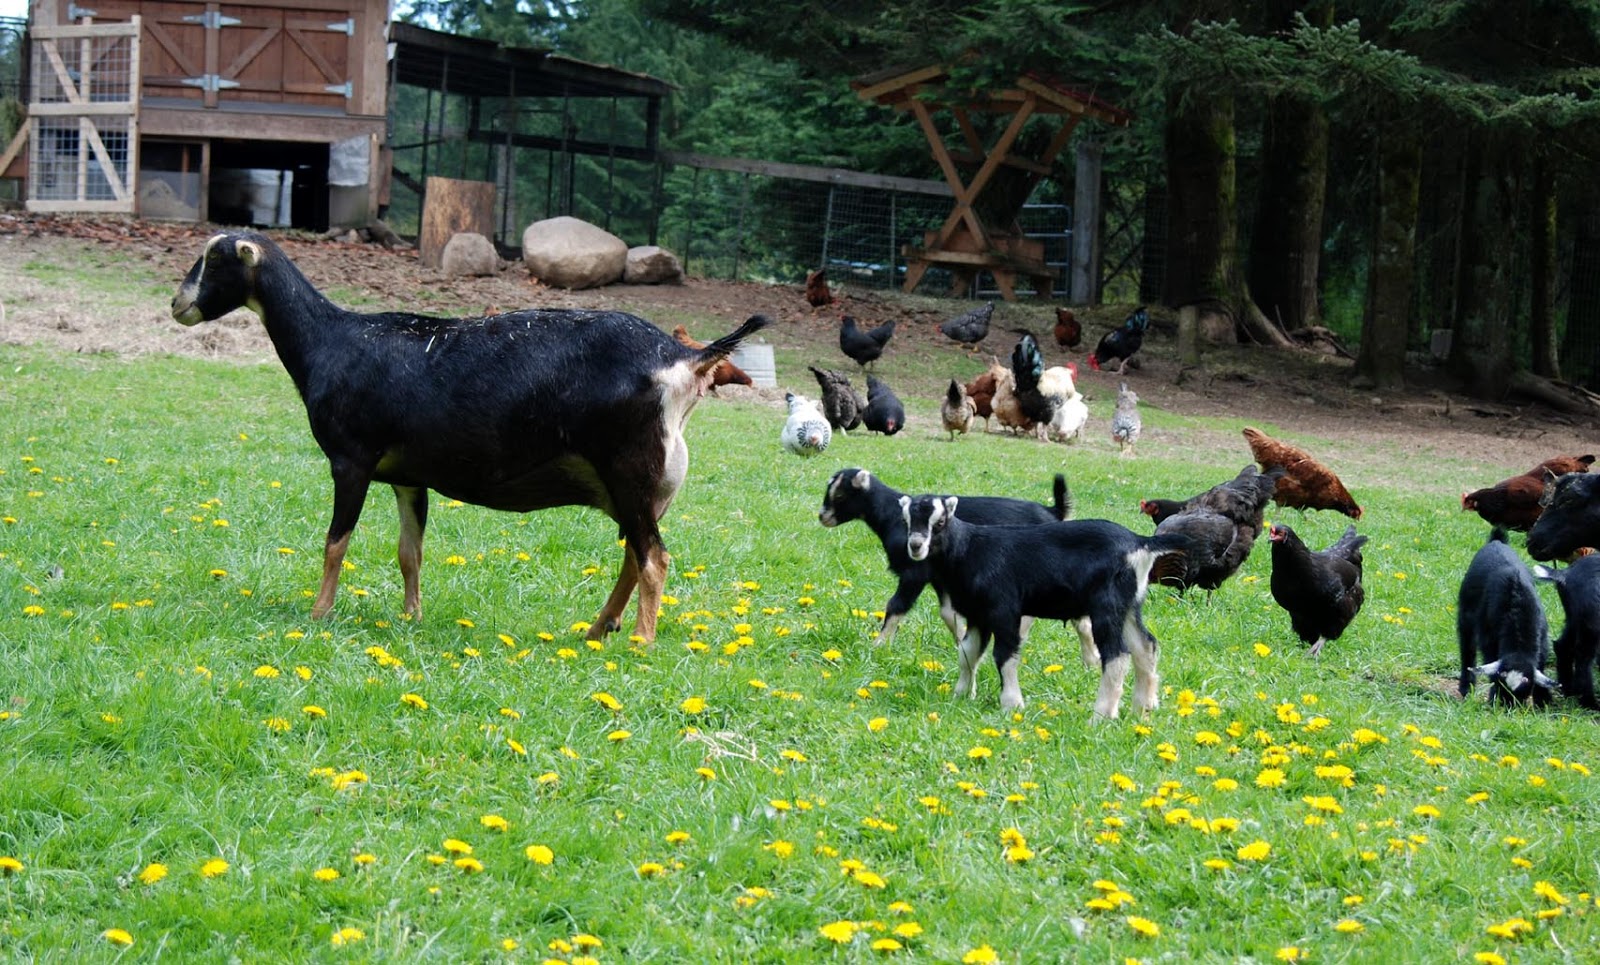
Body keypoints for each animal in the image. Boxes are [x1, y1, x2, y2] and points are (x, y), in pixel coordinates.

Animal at [170, 231, 768, 642]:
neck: (331, 340)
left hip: (629, 468)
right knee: (634, 553)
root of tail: (685, 358)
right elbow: (409, 551)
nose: (178, 305)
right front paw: (411, 617)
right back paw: (599, 629)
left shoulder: (352, 459)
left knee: (653, 559)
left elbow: (336, 542)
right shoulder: (407, 476)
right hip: (641, 486)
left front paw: (319, 614)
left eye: (217, 259)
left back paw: (641, 641)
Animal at [817, 468, 1068, 647]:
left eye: (839, 494)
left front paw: (878, 645)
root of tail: (1053, 511)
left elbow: (896, 605)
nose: (822, 516)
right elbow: (949, 613)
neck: (892, 515)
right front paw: (962, 642)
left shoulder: (915, 573)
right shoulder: (940, 577)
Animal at [900, 494, 1187, 718]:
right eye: (906, 521)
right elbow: (967, 653)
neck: (970, 549)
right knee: (1146, 646)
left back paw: (1102, 715)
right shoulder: (978, 615)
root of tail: (1140, 543)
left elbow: (1004, 656)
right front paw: (961, 695)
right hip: (1128, 605)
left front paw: (1012, 704)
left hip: (1107, 605)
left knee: (1117, 655)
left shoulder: (1004, 610)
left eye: (939, 522)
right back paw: (1143, 708)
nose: (915, 546)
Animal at [1458, 528, 1556, 705]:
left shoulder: (1543, 638)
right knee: (1467, 648)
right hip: (1465, 614)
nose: (1509, 706)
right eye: (1501, 681)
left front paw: (1543, 700)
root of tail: (1497, 541)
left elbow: (1541, 664)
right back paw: (1466, 687)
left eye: (1526, 687)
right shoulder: (1488, 638)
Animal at [1533, 555, 1600, 710]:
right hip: (1590, 626)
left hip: (1573, 619)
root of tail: (1565, 574)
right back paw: (1590, 704)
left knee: (1561, 646)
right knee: (1583, 661)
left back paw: (1568, 690)